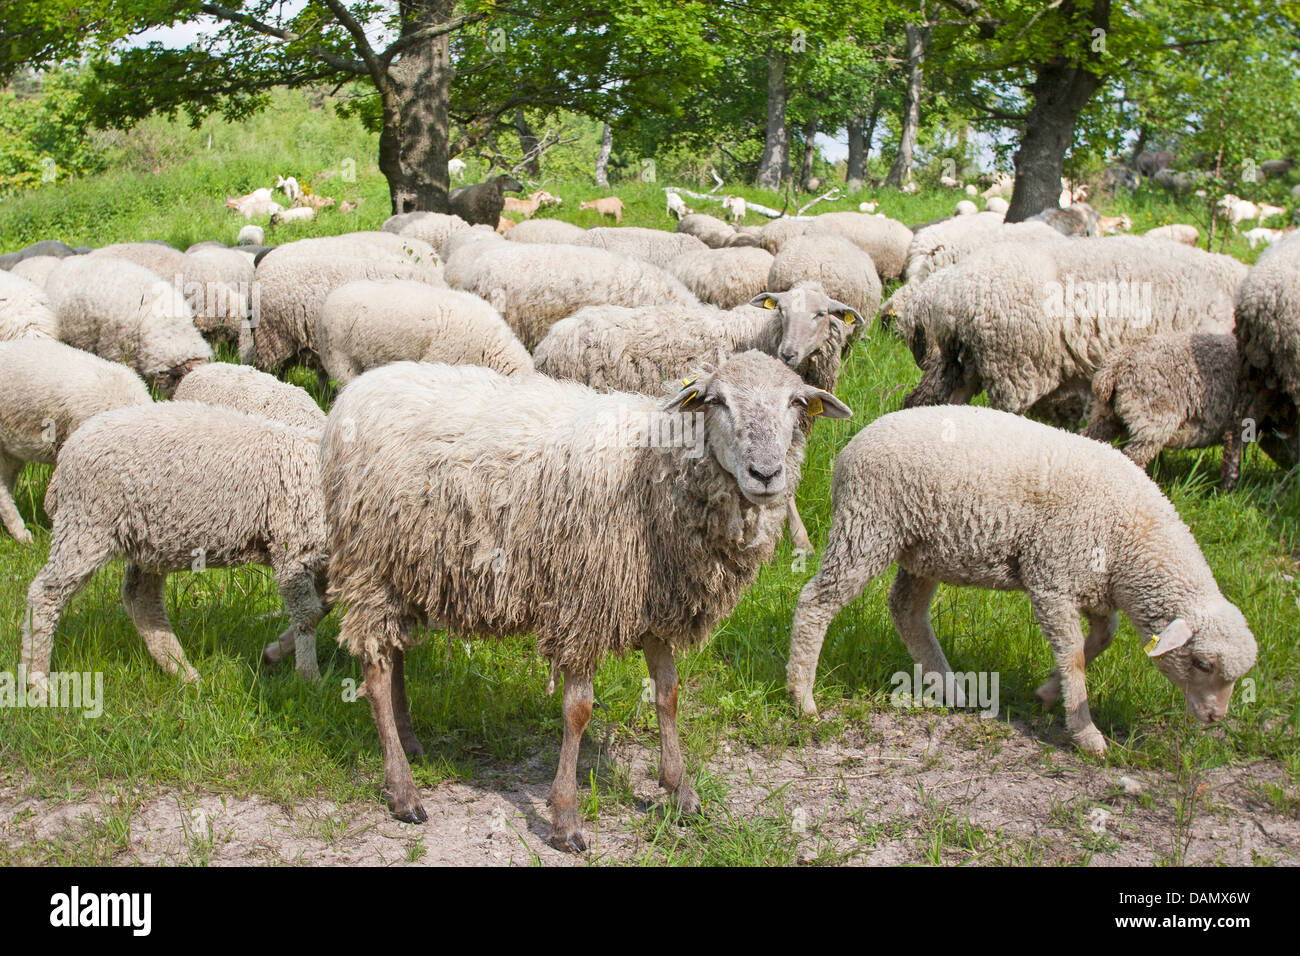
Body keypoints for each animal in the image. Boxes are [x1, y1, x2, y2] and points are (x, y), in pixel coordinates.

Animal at [22, 401, 328, 689]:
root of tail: (66, 454)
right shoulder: (294, 548)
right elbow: (308, 614)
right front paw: (309, 678)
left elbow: (323, 607)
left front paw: (276, 652)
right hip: (88, 522)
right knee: (46, 593)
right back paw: (36, 677)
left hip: (147, 538)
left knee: (141, 598)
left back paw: (181, 670)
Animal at [320, 352, 851, 848]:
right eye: (717, 401)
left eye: (796, 402)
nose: (766, 473)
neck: (651, 468)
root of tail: (355, 392)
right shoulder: (584, 603)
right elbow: (578, 711)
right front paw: (565, 819)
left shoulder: (655, 602)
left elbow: (668, 694)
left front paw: (681, 793)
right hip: (368, 563)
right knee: (375, 669)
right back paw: (403, 790)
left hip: (407, 568)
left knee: (394, 653)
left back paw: (411, 744)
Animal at [785, 404, 1257, 753]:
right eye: (1202, 664)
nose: (1215, 718)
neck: (1130, 538)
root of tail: (850, 448)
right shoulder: (1051, 579)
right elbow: (1074, 655)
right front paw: (1086, 733)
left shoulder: (1090, 584)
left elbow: (1103, 637)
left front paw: (1048, 692)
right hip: (868, 527)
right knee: (817, 602)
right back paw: (802, 696)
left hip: (922, 548)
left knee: (906, 610)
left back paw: (952, 689)